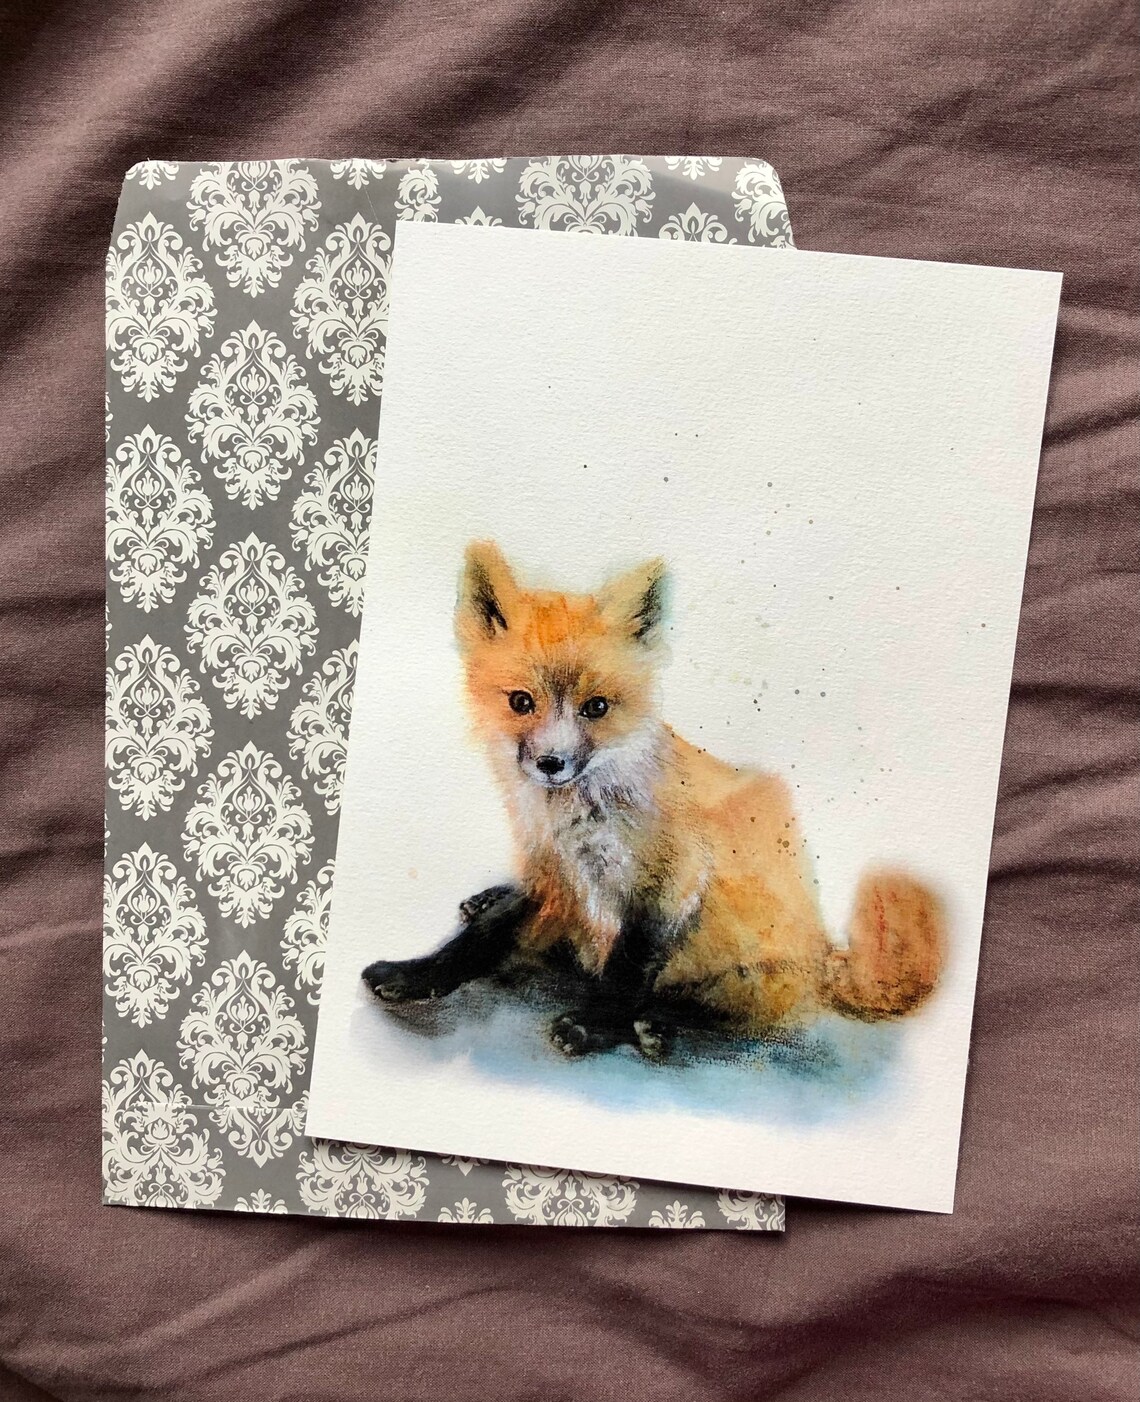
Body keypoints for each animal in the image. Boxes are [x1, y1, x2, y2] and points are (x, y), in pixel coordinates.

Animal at [362, 542, 945, 1061]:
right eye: (521, 702)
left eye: (597, 707)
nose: (552, 764)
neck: (580, 822)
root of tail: (828, 956)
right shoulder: (551, 875)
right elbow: (484, 937)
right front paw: (416, 975)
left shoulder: (672, 883)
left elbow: (629, 968)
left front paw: (593, 1026)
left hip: (749, 973)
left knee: (726, 1010)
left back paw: (657, 1026)